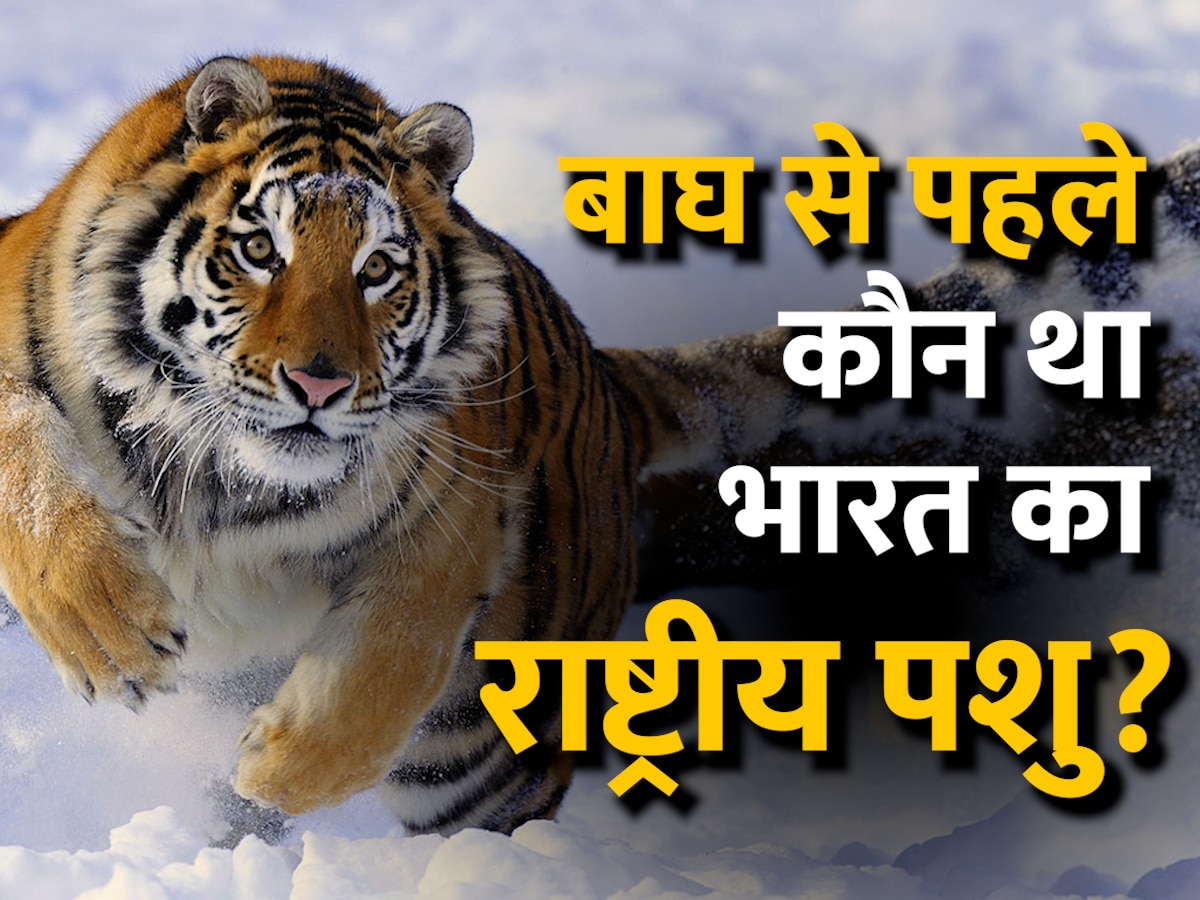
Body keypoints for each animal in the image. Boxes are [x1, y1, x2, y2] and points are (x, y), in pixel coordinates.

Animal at [0, 55, 805, 837]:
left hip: (482, 749)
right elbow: (27, 476)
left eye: (378, 269)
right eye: (260, 249)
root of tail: (606, 379)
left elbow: (387, 663)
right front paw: (114, 640)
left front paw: (274, 769)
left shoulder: (455, 517)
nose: (320, 384)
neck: (221, 477)